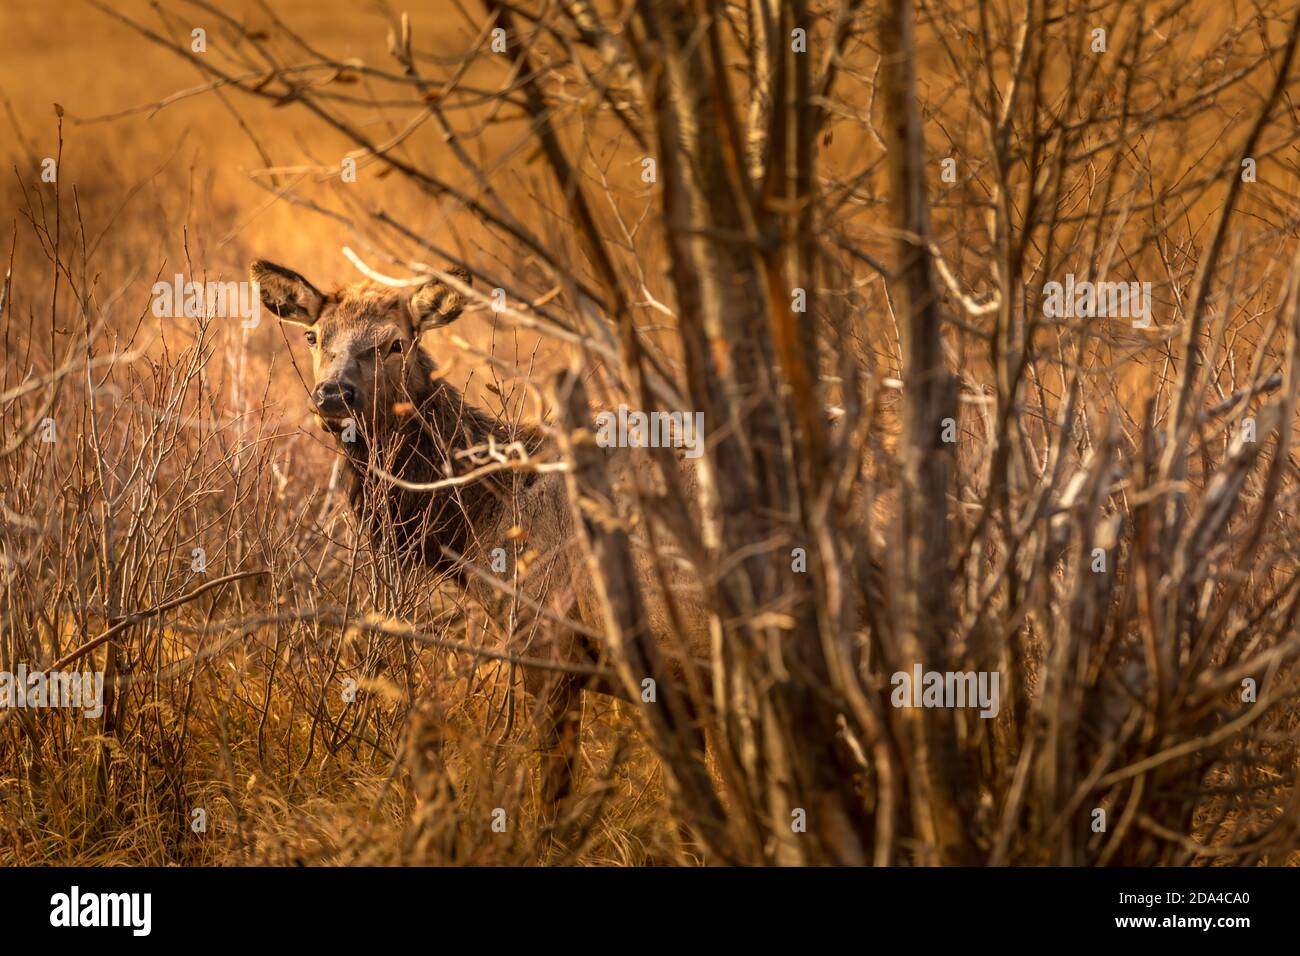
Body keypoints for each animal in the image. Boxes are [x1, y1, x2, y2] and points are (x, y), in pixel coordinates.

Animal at [250, 259, 710, 820]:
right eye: (314, 335)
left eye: (395, 342)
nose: (333, 395)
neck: (479, 520)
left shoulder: (548, 637)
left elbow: (554, 786)